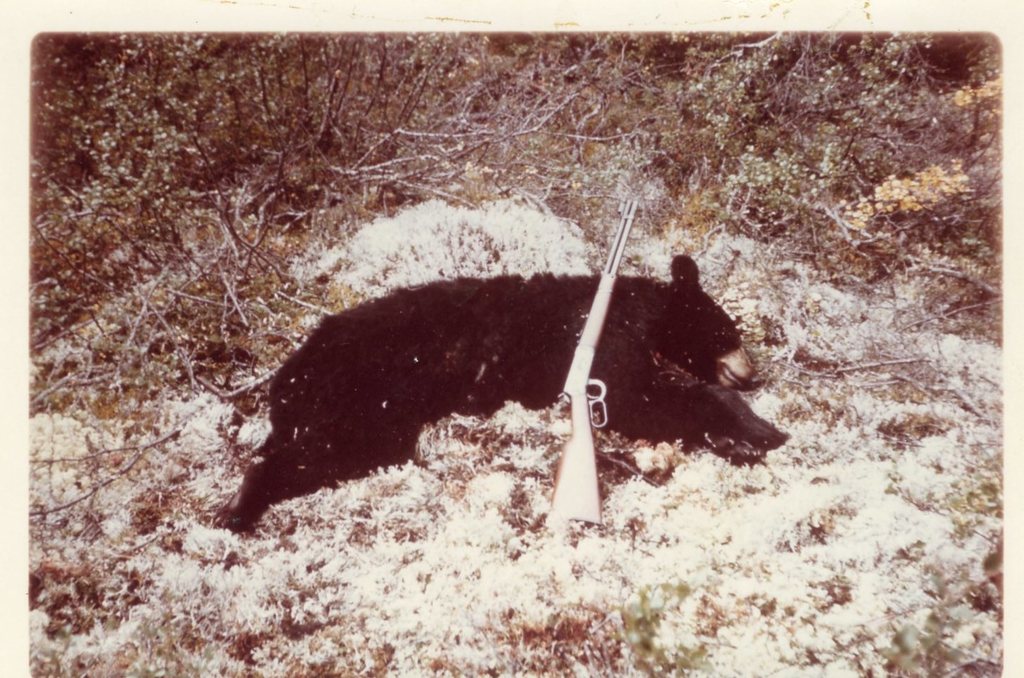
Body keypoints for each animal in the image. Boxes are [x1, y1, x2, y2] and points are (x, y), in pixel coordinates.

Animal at [216, 254, 787, 532]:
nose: (754, 373)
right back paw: (237, 509)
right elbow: (643, 401)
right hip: (359, 397)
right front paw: (759, 430)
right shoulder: (605, 357)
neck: (635, 313)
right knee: (319, 452)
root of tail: (287, 375)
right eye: (728, 329)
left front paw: (737, 439)